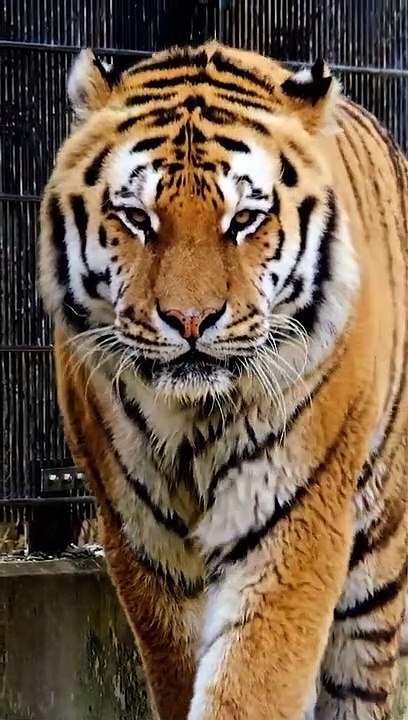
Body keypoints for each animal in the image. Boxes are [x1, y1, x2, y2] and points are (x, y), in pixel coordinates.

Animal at [39, 41, 407, 720]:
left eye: (244, 219)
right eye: (137, 218)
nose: (190, 320)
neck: (193, 417)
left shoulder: (295, 517)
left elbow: (254, 677)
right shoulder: (142, 537)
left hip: (377, 547)